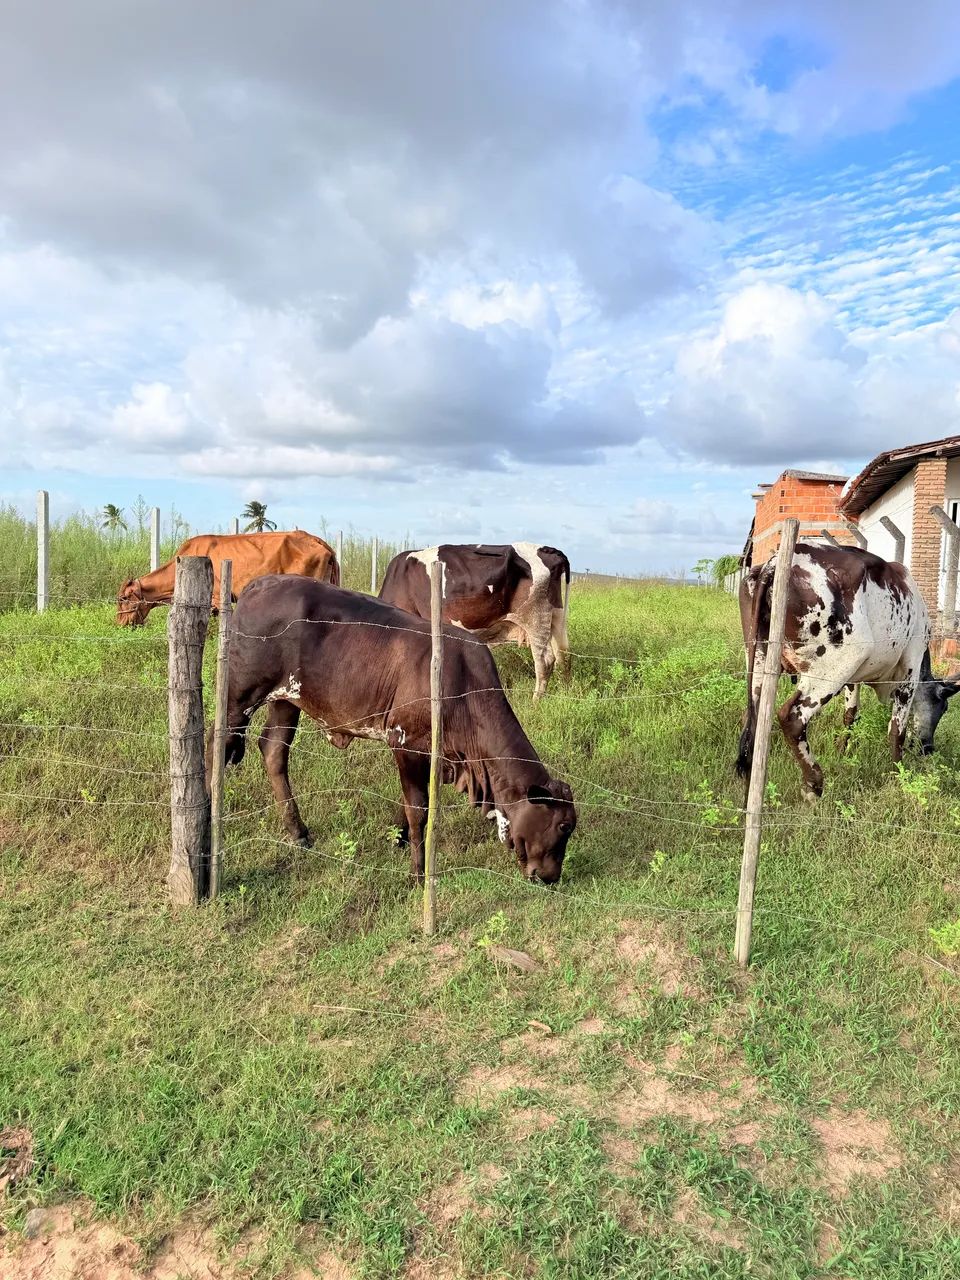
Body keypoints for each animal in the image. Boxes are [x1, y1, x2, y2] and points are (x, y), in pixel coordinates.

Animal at [210, 575, 577, 883]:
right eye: (563, 825)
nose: (551, 877)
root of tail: (260, 583)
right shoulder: (404, 741)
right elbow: (418, 808)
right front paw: (418, 872)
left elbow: (410, 803)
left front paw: (398, 839)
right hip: (239, 696)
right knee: (218, 747)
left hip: (287, 699)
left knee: (273, 750)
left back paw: (298, 832)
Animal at [378, 543, 571, 699]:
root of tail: (548, 549)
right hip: (556, 616)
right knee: (563, 655)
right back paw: (563, 690)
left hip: (534, 617)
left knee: (545, 661)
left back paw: (535, 702)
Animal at [736, 542, 960, 800]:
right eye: (943, 707)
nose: (928, 748)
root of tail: (775, 563)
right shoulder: (910, 670)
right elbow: (897, 730)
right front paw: (898, 774)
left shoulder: (854, 680)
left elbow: (850, 715)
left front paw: (842, 753)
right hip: (838, 664)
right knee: (792, 718)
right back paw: (814, 784)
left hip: (758, 661)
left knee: (752, 719)